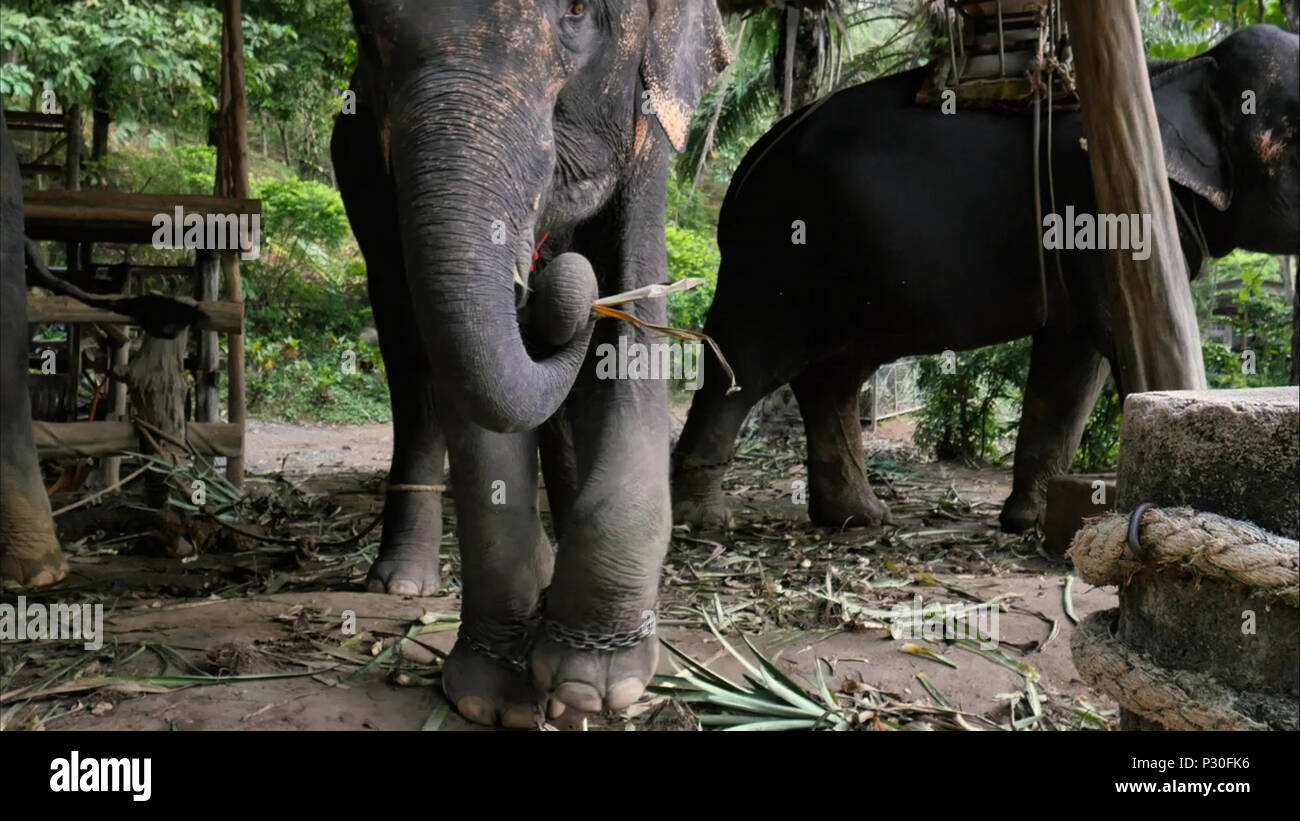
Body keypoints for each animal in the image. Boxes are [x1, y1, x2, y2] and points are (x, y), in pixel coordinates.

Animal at [330, 0, 728, 727]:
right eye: (366, 31)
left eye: (576, 12)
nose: (546, 280)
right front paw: (496, 696)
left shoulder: (649, 132)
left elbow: (632, 322)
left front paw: (594, 685)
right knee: (409, 354)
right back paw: (403, 584)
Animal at [672, 25, 1299, 534]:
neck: (1187, 65)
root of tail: (748, 165)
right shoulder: (1104, 211)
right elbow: (1116, 340)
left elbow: (1071, 366)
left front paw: (1028, 523)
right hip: (774, 252)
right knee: (743, 364)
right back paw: (703, 523)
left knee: (832, 378)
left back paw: (858, 518)